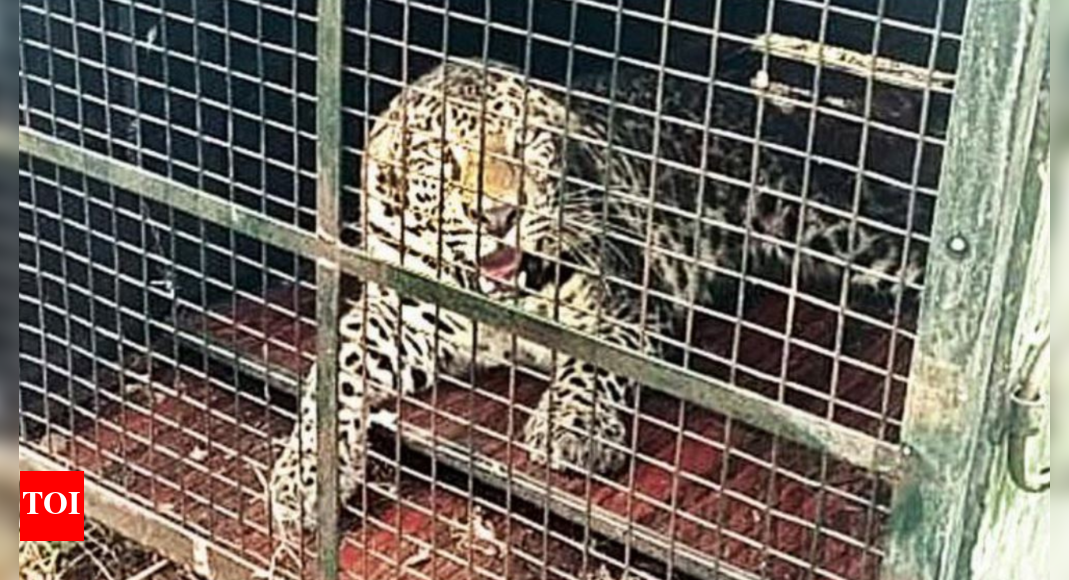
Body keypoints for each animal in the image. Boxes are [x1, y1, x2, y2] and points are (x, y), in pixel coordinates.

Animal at [268, 59, 929, 531]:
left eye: (525, 142)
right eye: (443, 160)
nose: (498, 216)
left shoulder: (625, 298)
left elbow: (591, 361)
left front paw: (572, 426)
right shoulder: (391, 316)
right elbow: (334, 372)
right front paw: (302, 478)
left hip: (826, 226)